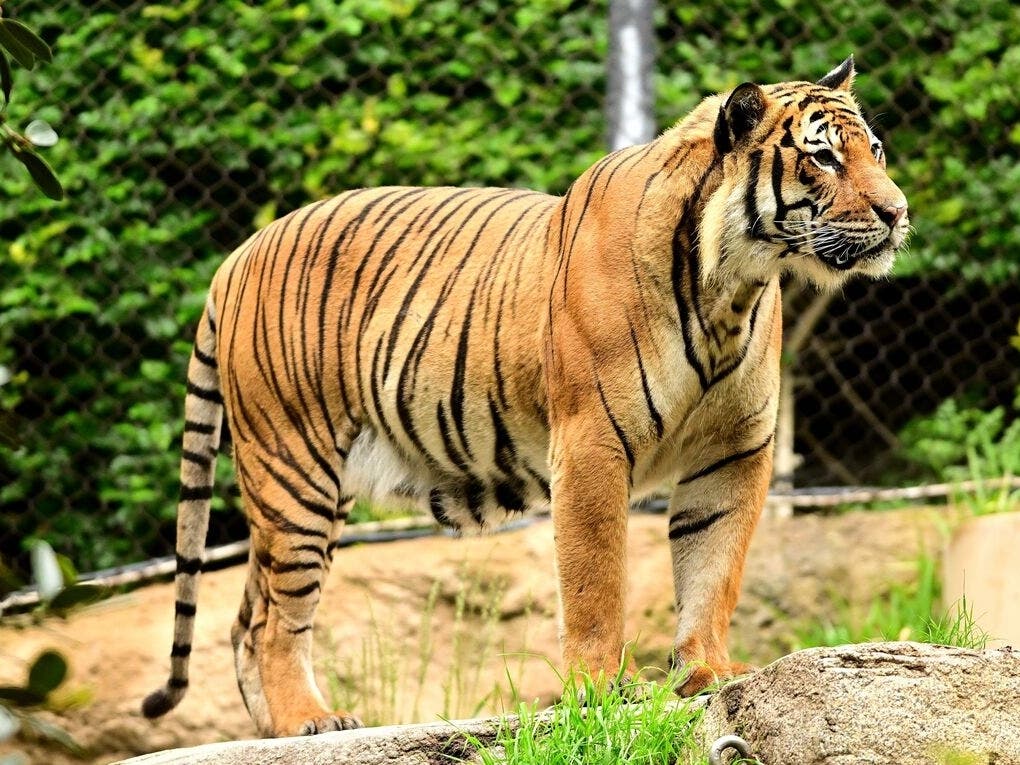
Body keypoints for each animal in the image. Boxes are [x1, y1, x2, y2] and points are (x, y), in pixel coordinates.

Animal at [142, 56, 909, 737]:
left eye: (873, 150)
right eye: (823, 159)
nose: (898, 212)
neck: (733, 283)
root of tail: (237, 256)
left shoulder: (734, 450)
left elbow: (712, 568)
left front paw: (708, 673)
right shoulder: (594, 439)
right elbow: (597, 579)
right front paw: (600, 690)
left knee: (248, 614)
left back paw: (273, 729)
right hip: (293, 467)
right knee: (277, 618)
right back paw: (310, 719)